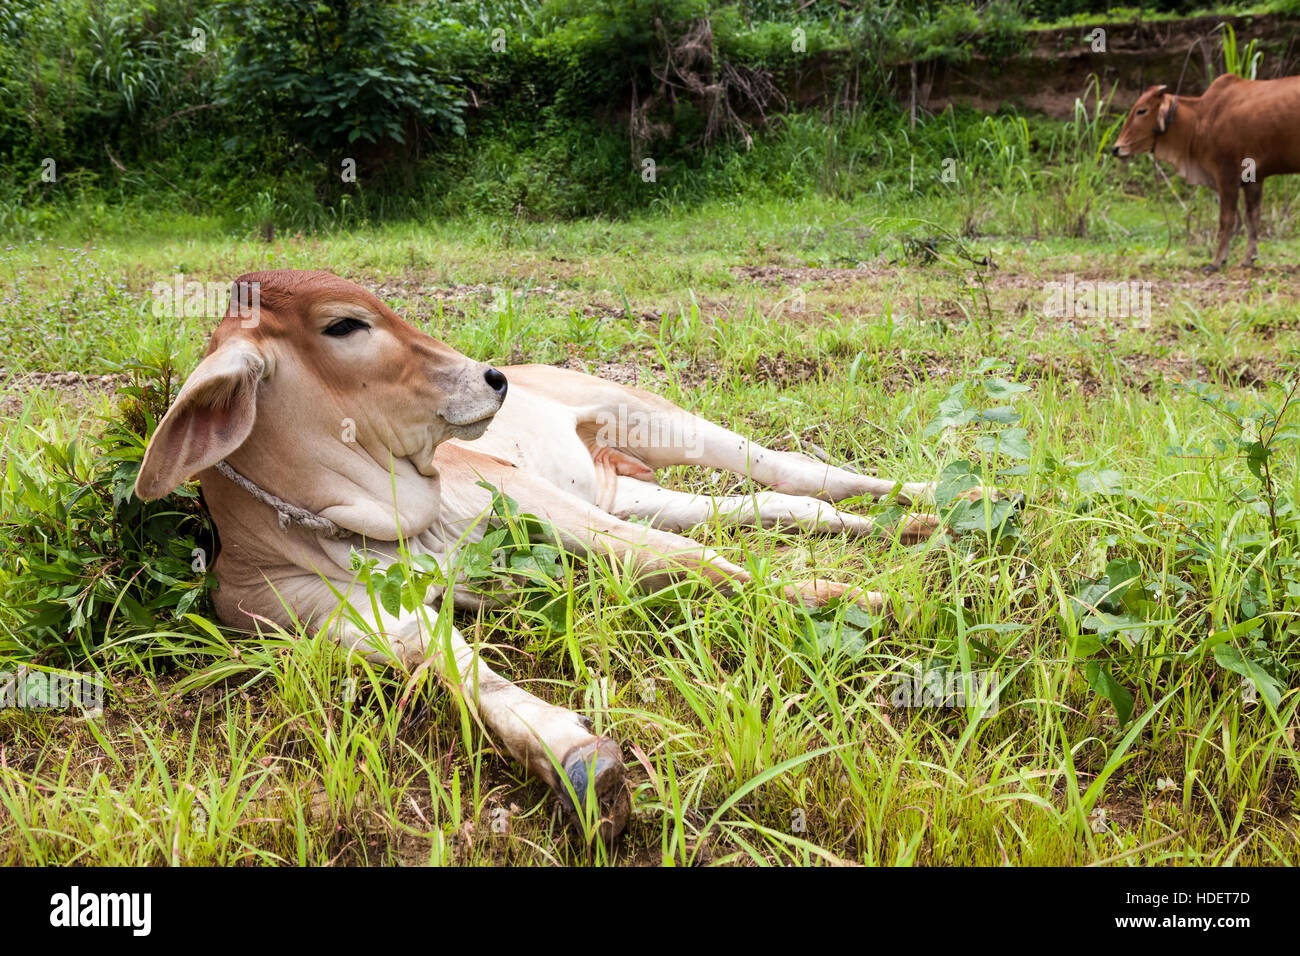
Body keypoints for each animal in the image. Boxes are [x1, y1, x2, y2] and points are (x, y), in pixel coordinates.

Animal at [133, 270, 1006, 844]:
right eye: (345, 325)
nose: (491, 379)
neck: (371, 523)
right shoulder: (327, 618)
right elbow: (460, 668)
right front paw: (576, 758)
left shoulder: (529, 500)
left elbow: (690, 562)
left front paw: (857, 602)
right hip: (630, 488)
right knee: (781, 509)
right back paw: (916, 526)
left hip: (655, 417)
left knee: (796, 472)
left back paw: (955, 497)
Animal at [1112, 73, 1300, 270]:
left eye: (1141, 110)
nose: (1116, 148)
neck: (1201, 120)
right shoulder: (1253, 180)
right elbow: (1252, 218)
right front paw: (1248, 259)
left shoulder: (1227, 176)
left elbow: (1227, 220)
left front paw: (1217, 261)